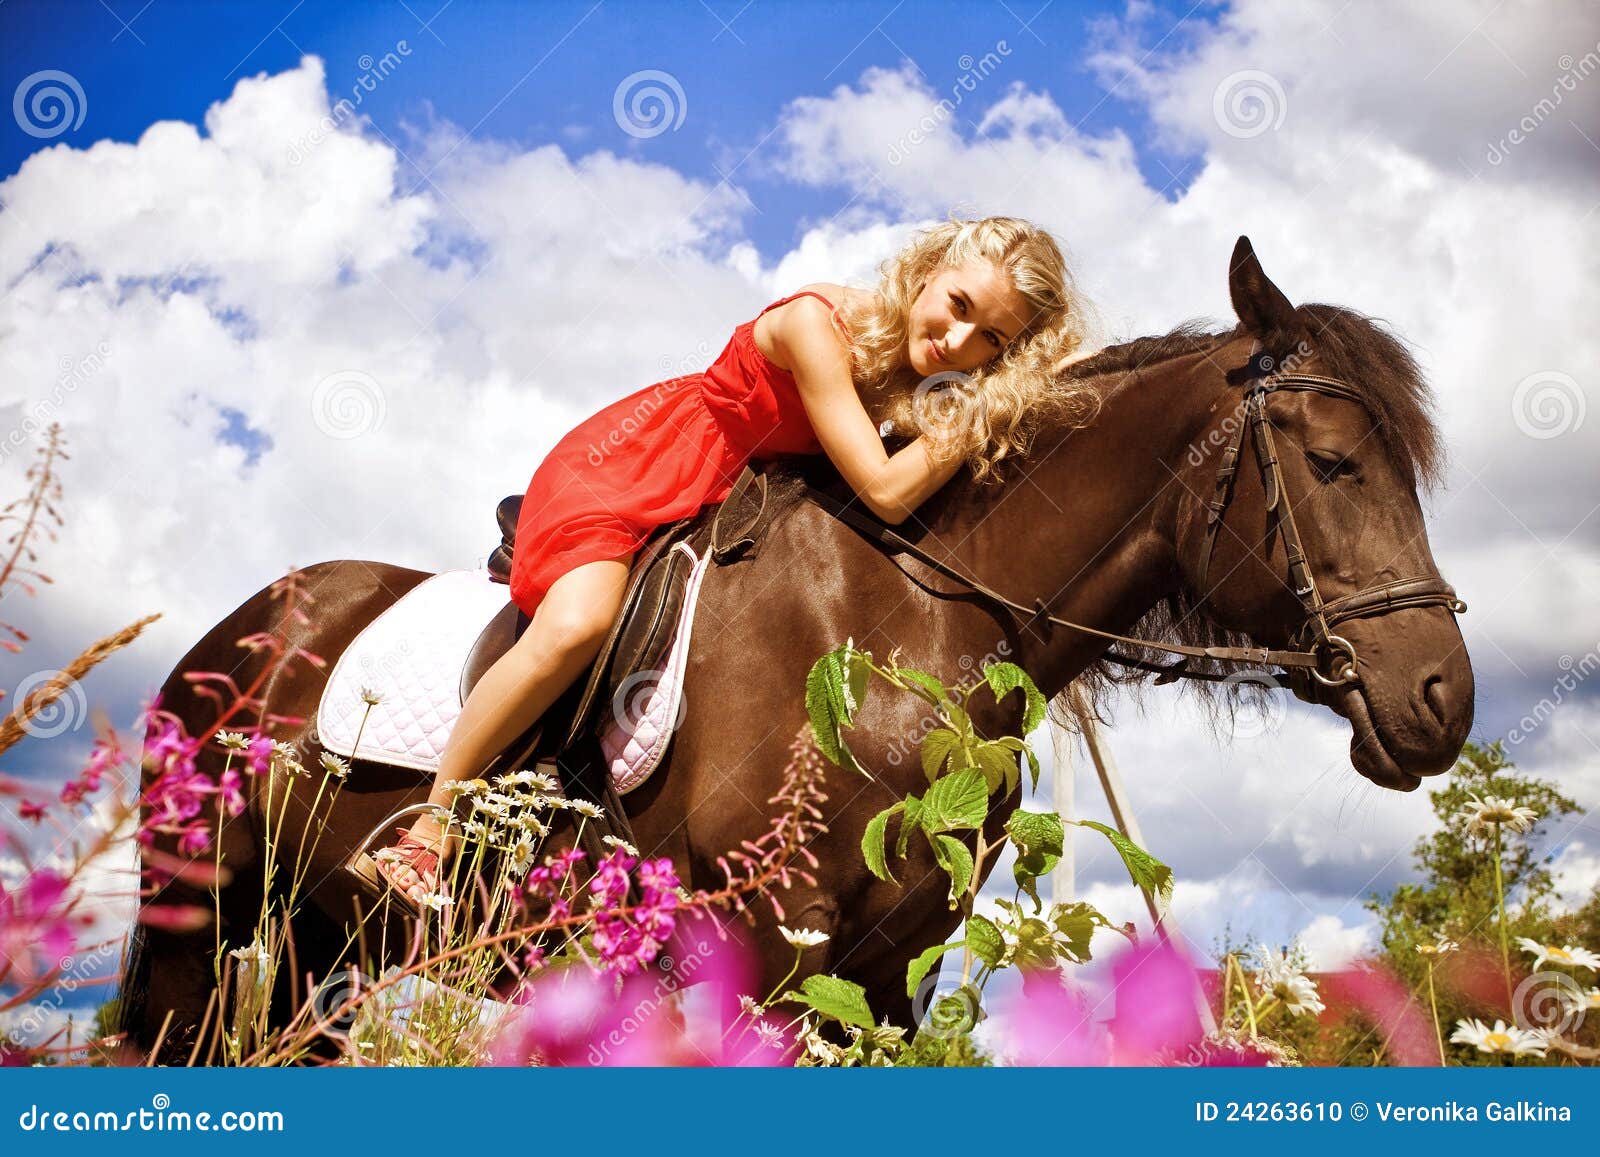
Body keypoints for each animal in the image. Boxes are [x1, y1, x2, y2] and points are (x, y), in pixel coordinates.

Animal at [119, 238, 1473, 1061]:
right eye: (1334, 464)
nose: (1441, 699)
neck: (911, 624)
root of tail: (253, 622)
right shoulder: (770, 946)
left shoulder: (886, 970)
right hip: (204, 924)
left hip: (319, 951)